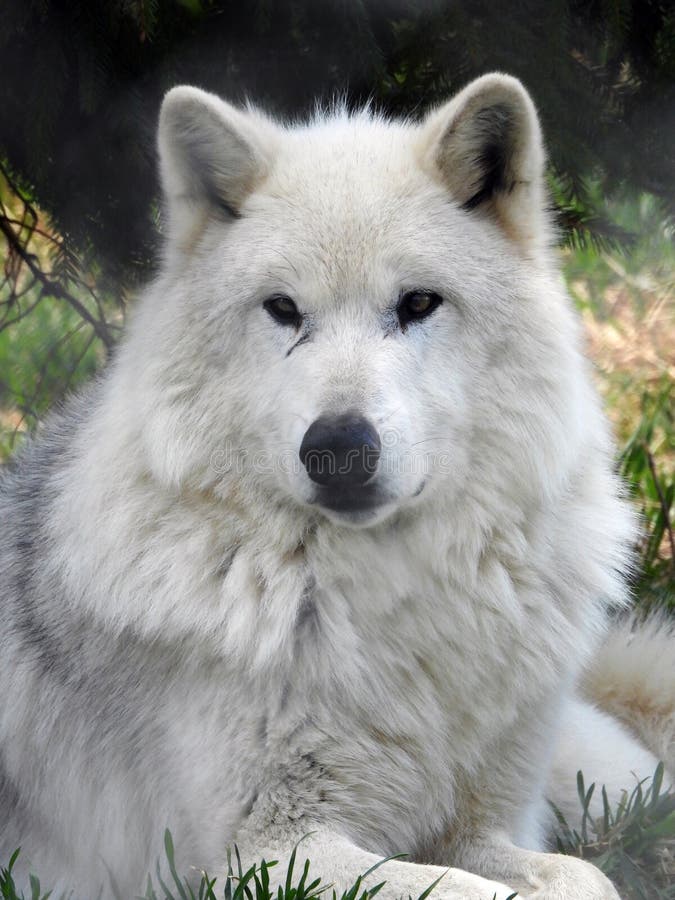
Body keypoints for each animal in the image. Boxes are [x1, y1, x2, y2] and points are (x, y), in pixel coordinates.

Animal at [0, 73, 673, 900]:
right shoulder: (265, 852)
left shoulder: (483, 828)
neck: (388, 598)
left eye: (417, 303)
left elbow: (583, 878)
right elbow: (467, 889)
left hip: (609, 783)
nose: (338, 450)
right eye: (284, 309)